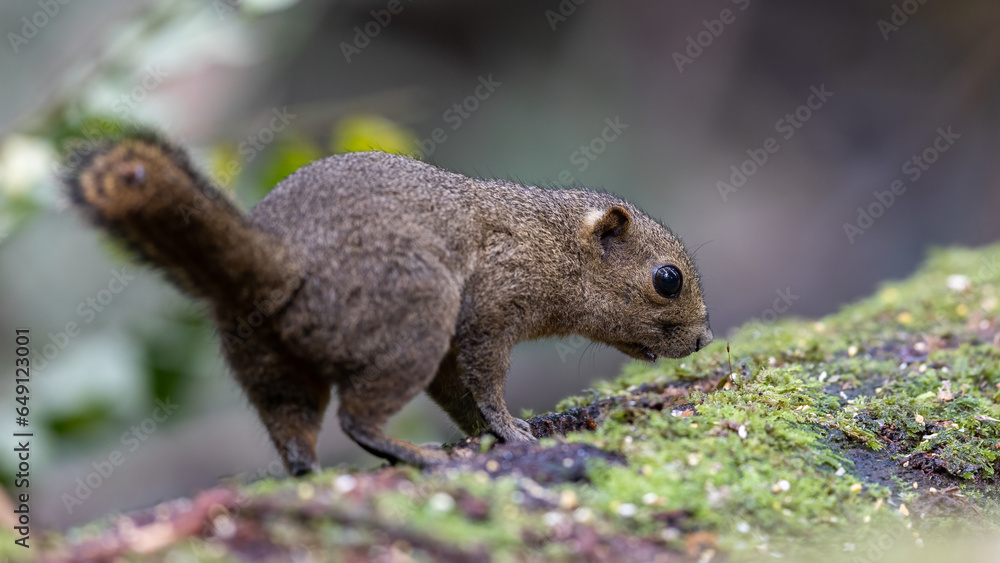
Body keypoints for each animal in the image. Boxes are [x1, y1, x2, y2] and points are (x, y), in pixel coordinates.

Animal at [65, 130, 713, 476]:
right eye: (668, 279)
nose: (705, 338)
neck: (549, 242)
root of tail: (278, 273)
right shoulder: (489, 311)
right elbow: (484, 383)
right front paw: (512, 432)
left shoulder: (454, 349)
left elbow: (459, 397)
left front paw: (504, 429)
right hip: (413, 317)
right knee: (357, 418)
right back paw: (419, 457)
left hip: (269, 366)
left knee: (294, 435)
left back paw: (311, 476)